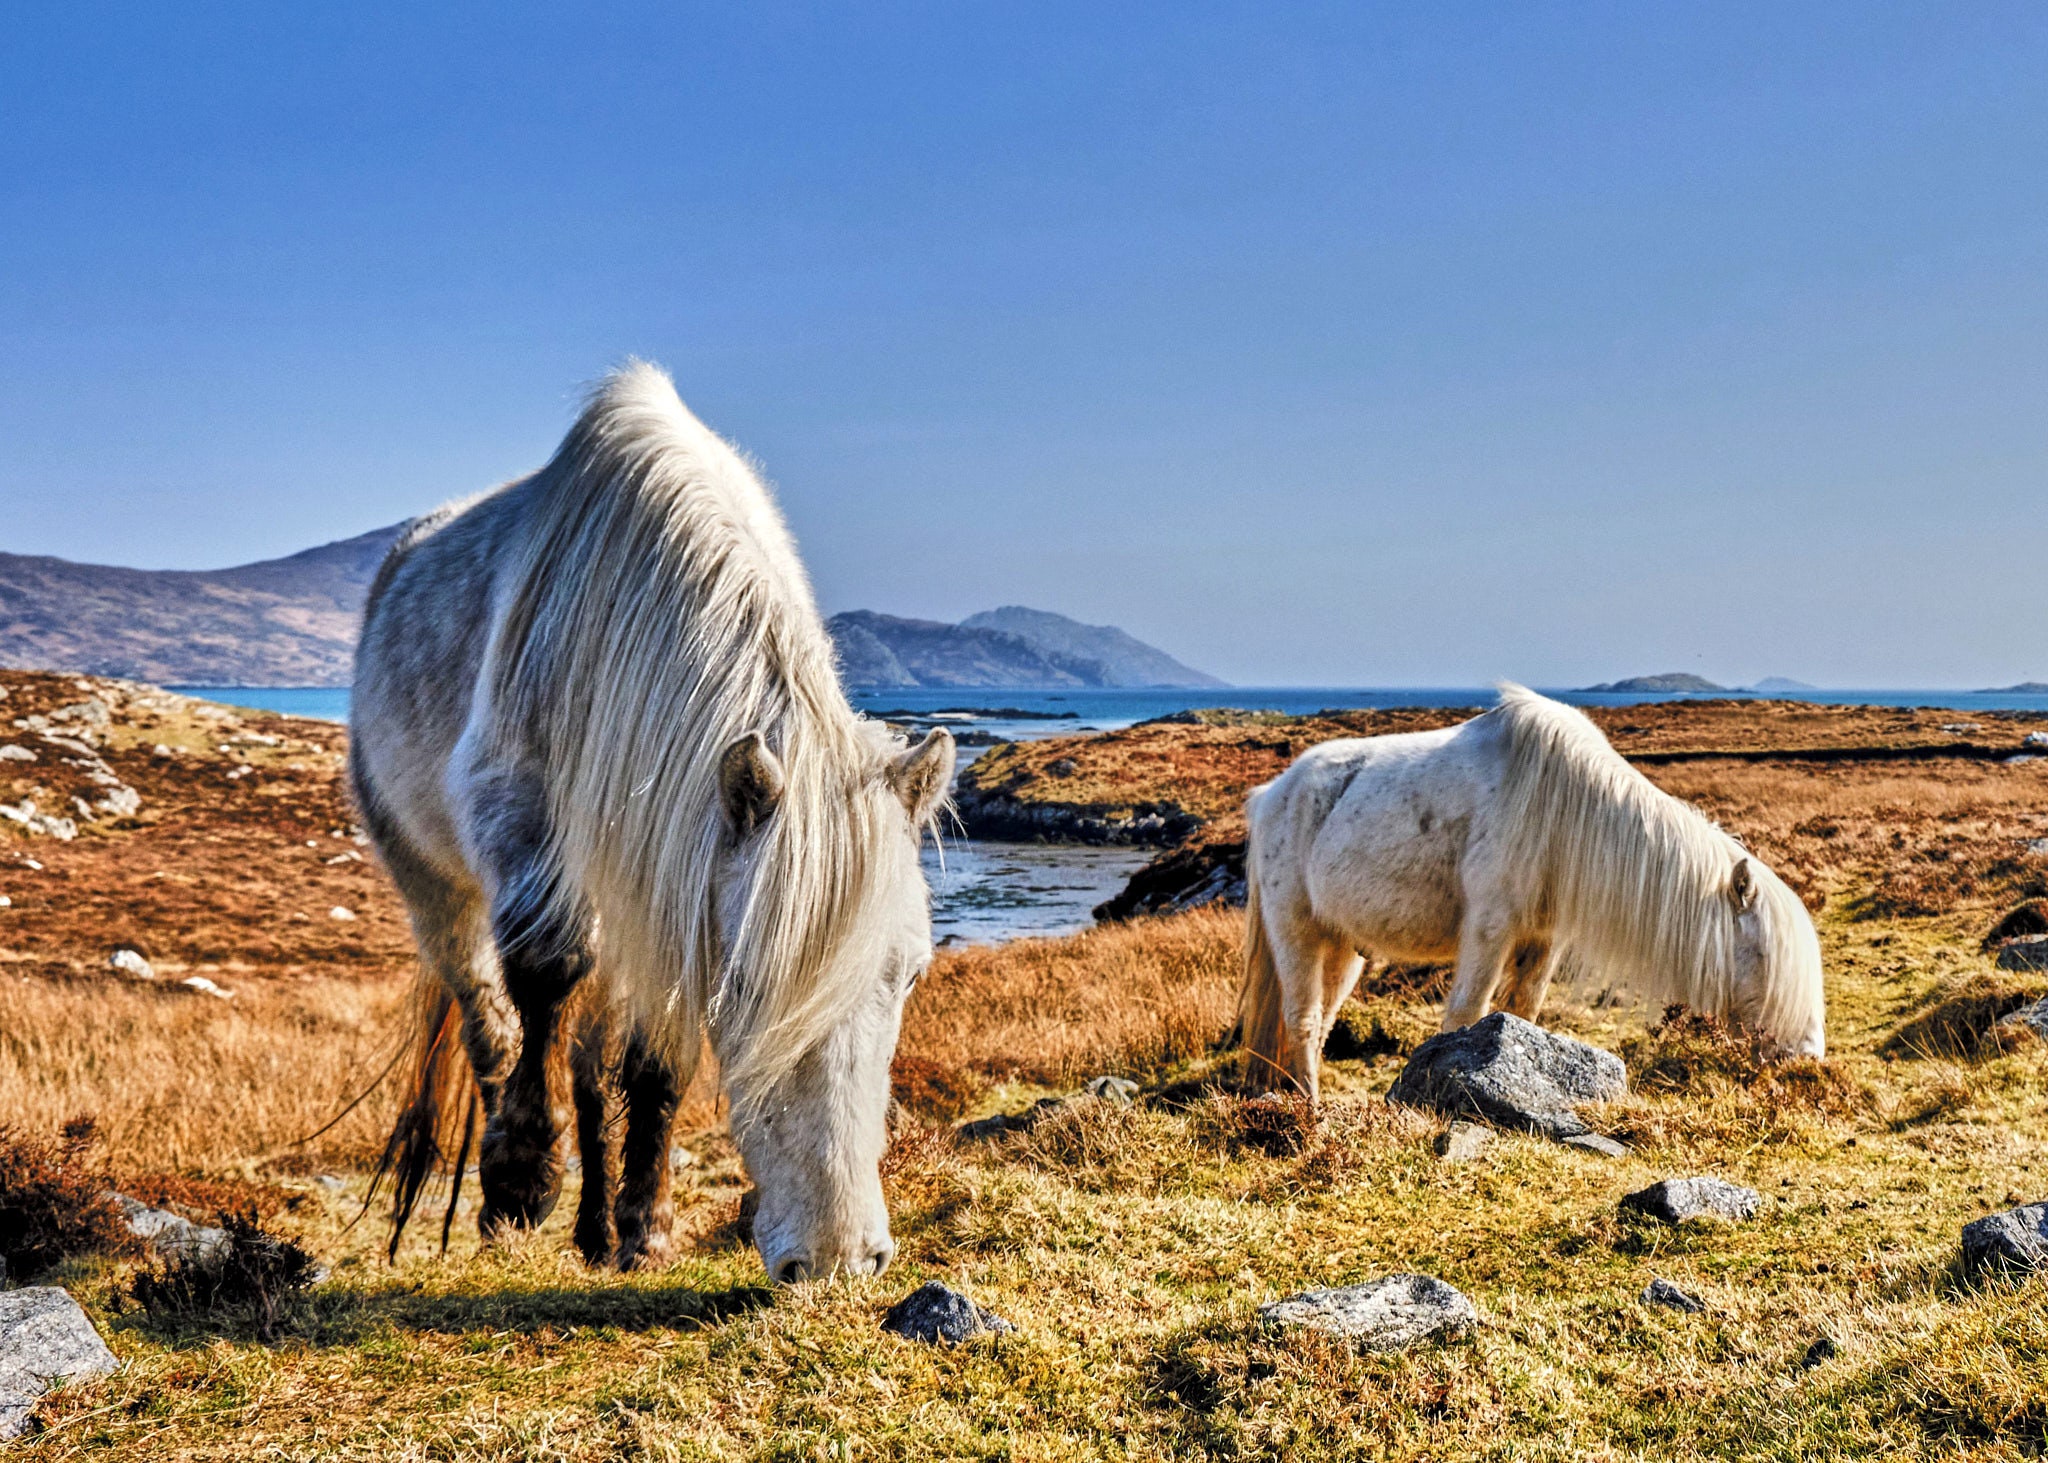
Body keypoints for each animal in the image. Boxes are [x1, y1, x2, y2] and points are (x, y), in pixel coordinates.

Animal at [351, 362, 954, 1281]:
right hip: (431, 879)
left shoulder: (664, 880)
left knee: (590, 1057)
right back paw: (504, 1201)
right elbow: (545, 977)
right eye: (742, 980)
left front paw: (646, 1225)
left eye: (913, 973)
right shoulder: (521, 829)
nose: (839, 1260)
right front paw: (523, 1177)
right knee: (489, 1014)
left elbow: (649, 1059)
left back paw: (600, 1231)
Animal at [1237, 684, 1824, 1100]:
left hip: (1342, 946)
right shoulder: (1489, 929)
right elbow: (1464, 1016)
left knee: (1320, 1022)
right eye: (1763, 954)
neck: (1564, 809)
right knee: (1302, 1019)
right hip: (1296, 932)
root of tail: (1271, 794)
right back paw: (1310, 1114)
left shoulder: (1545, 940)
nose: (1809, 1059)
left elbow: (1523, 1012)